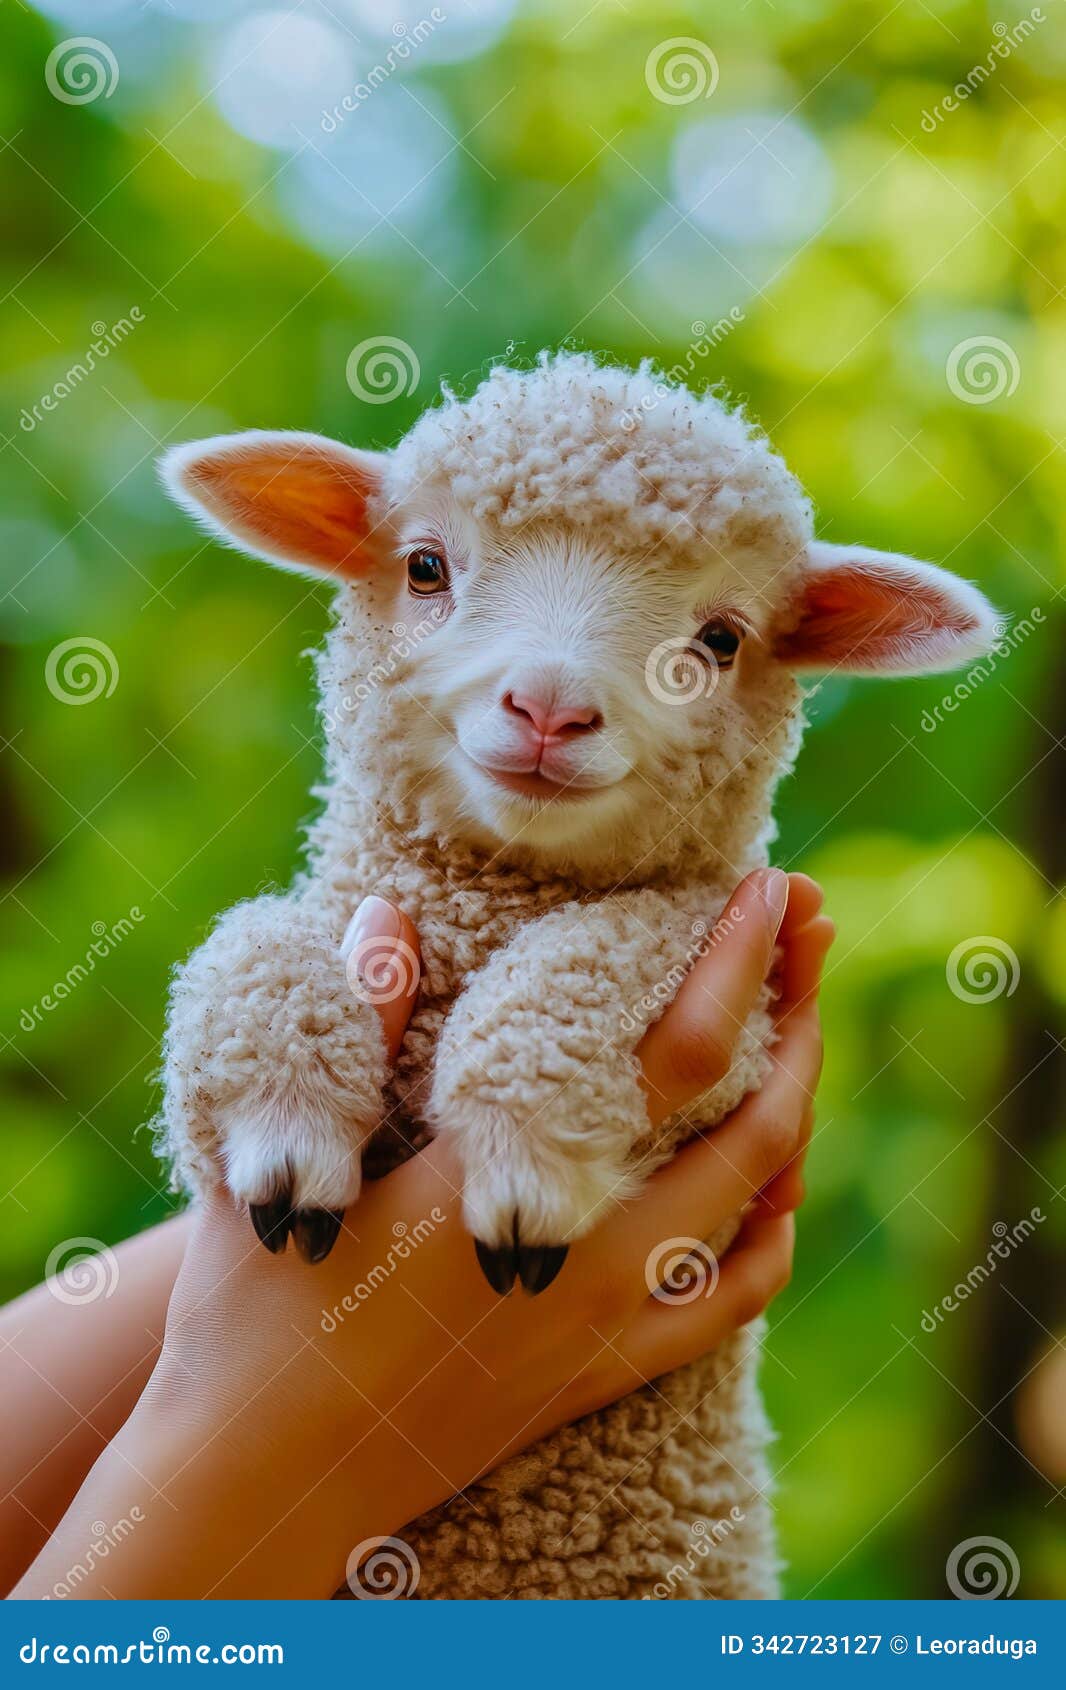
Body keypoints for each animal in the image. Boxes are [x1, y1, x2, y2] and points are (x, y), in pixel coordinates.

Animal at [157, 351, 997, 1598]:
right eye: (425, 566)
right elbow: (245, 949)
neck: (494, 892)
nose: (549, 707)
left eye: (721, 638)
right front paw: (288, 1128)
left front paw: (523, 1164)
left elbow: (609, 943)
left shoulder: (736, 1029)